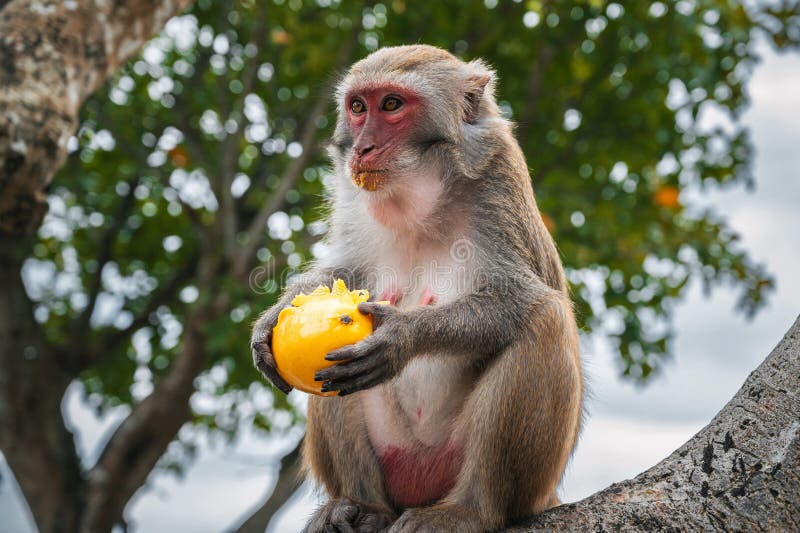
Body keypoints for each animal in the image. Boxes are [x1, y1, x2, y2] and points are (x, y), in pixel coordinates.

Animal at [251, 44, 583, 533]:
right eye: (358, 107)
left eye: (392, 104)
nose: (363, 147)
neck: (419, 193)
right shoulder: (353, 193)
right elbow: (343, 274)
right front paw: (270, 320)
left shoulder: (498, 177)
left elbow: (522, 297)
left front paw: (401, 337)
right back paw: (360, 506)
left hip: (513, 481)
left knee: (545, 319)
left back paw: (470, 510)